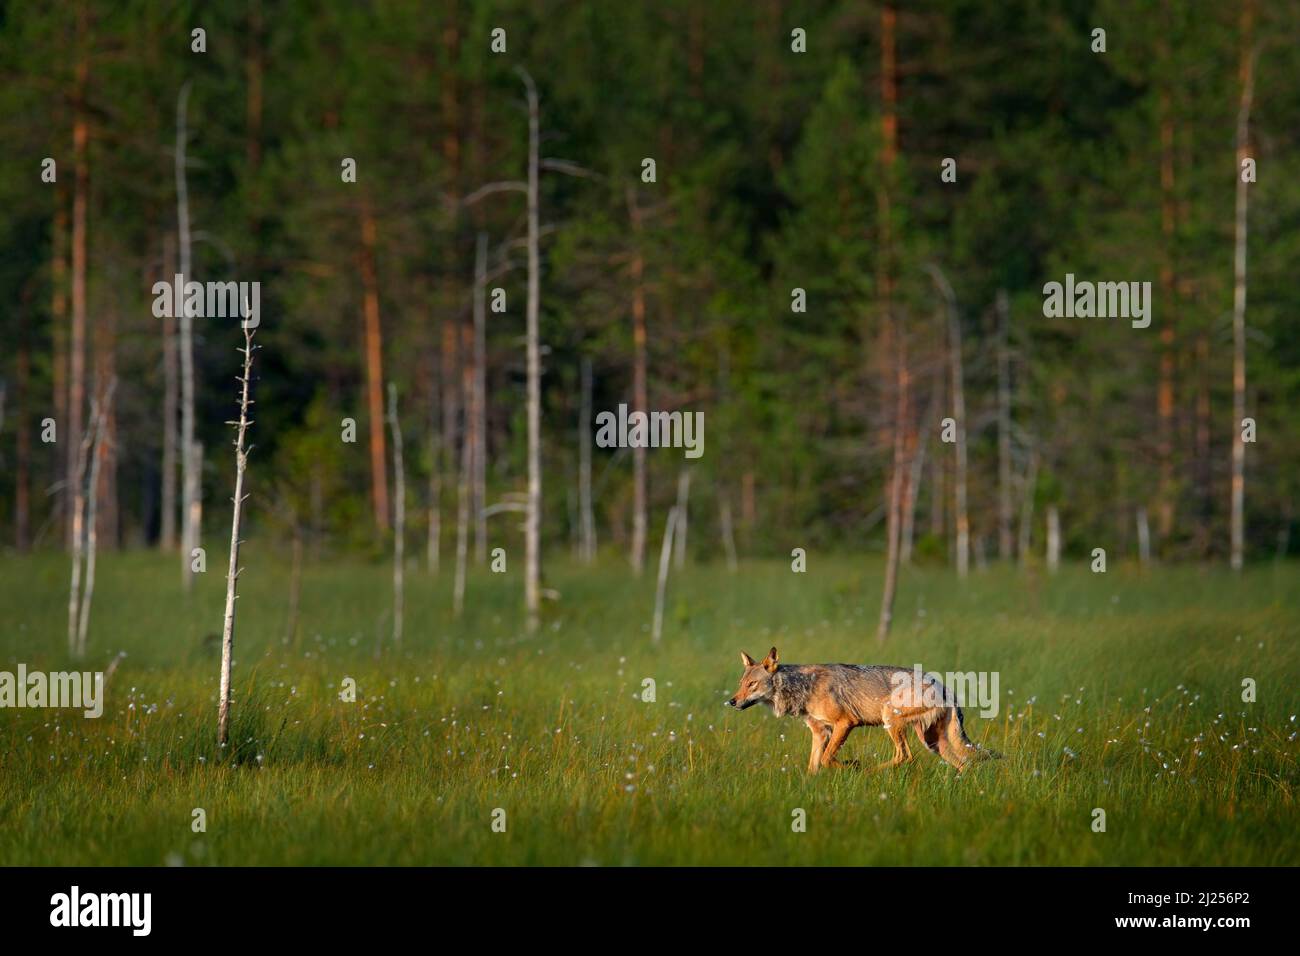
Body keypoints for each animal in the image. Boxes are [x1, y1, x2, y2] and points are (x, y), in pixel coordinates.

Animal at [724, 647, 998, 773]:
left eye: (752, 685)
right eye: (740, 684)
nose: (732, 701)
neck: (803, 686)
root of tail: (942, 684)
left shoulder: (845, 723)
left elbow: (826, 759)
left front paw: (852, 765)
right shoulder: (820, 732)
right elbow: (814, 766)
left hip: (891, 720)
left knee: (904, 756)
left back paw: (868, 770)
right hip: (932, 742)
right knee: (962, 763)